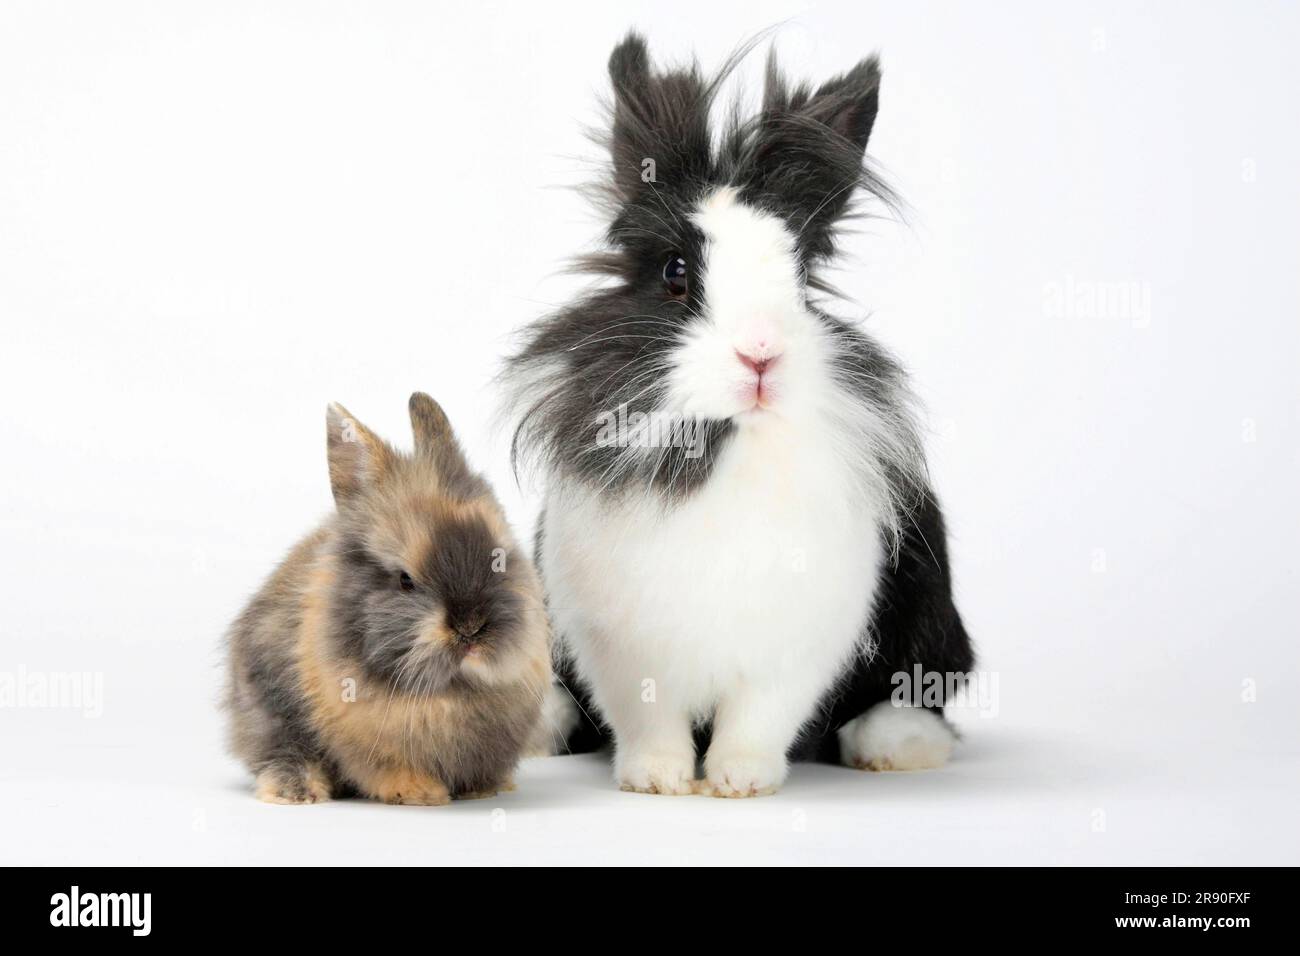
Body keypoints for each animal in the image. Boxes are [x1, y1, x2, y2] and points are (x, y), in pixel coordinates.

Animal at [225, 393, 551, 805]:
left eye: (500, 559)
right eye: (405, 580)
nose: (471, 628)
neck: (451, 688)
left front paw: (484, 789)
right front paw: (422, 793)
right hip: (267, 709)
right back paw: (297, 791)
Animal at [503, 33, 975, 797]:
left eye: (803, 275)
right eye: (675, 272)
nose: (761, 354)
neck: (729, 445)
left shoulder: (799, 642)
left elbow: (760, 718)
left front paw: (738, 782)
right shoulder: (620, 646)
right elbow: (648, 718)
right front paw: (658, 780)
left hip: (931, 614)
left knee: (920, 685)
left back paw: (896, 747)